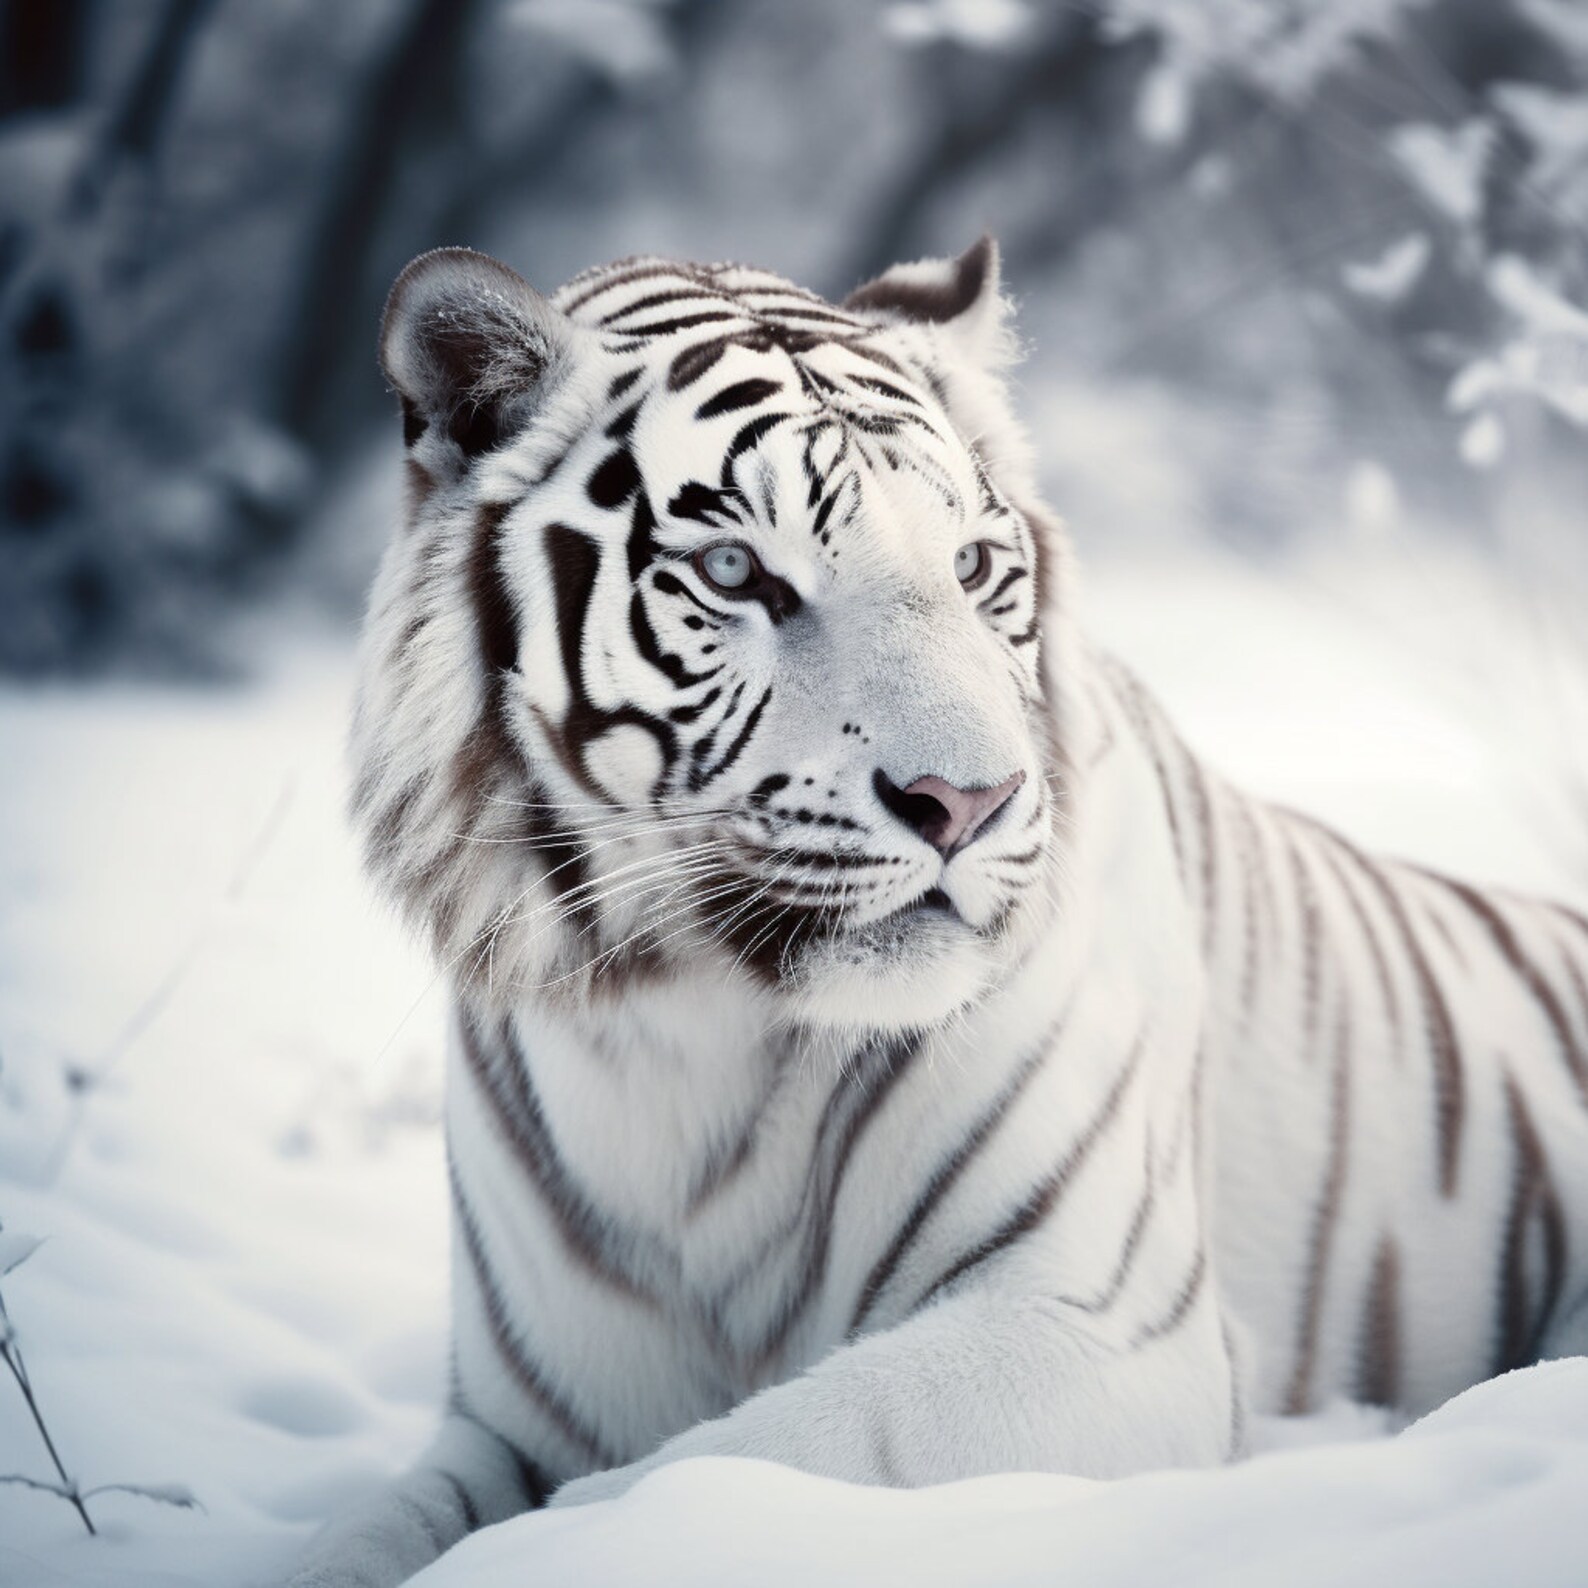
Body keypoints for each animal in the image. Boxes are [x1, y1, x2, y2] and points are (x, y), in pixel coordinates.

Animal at [290, 237, 1588, 1587]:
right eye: (732, 572)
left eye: (968, 566)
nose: (967, 801)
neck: (697, 1034)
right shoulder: (518, 1414)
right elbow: (369, 1532)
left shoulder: (1095, 1324)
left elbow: (744, 1457)